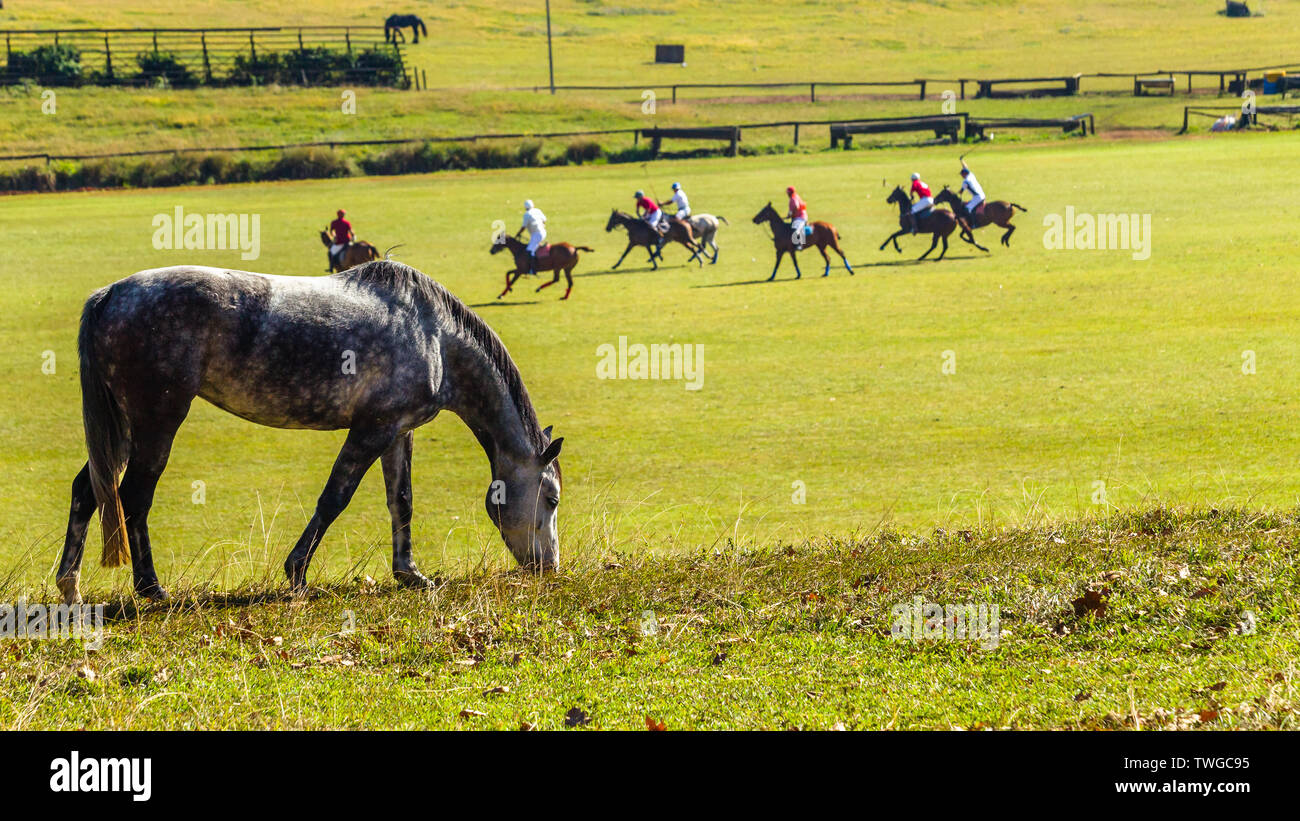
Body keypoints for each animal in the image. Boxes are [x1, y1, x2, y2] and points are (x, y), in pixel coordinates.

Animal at [55, 261, 564, 606]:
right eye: (552, 498)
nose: (549, 568)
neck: (435, 335)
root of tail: (109, 296)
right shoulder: (371, 430)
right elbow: (334, 498)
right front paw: (297, 573)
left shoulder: (398, 432)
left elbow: (401, 501)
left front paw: (410, 573)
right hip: (157, 421)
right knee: (134, 496)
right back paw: (151, 588)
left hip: (124, 427)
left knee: (88, 490)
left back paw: (70, 587)